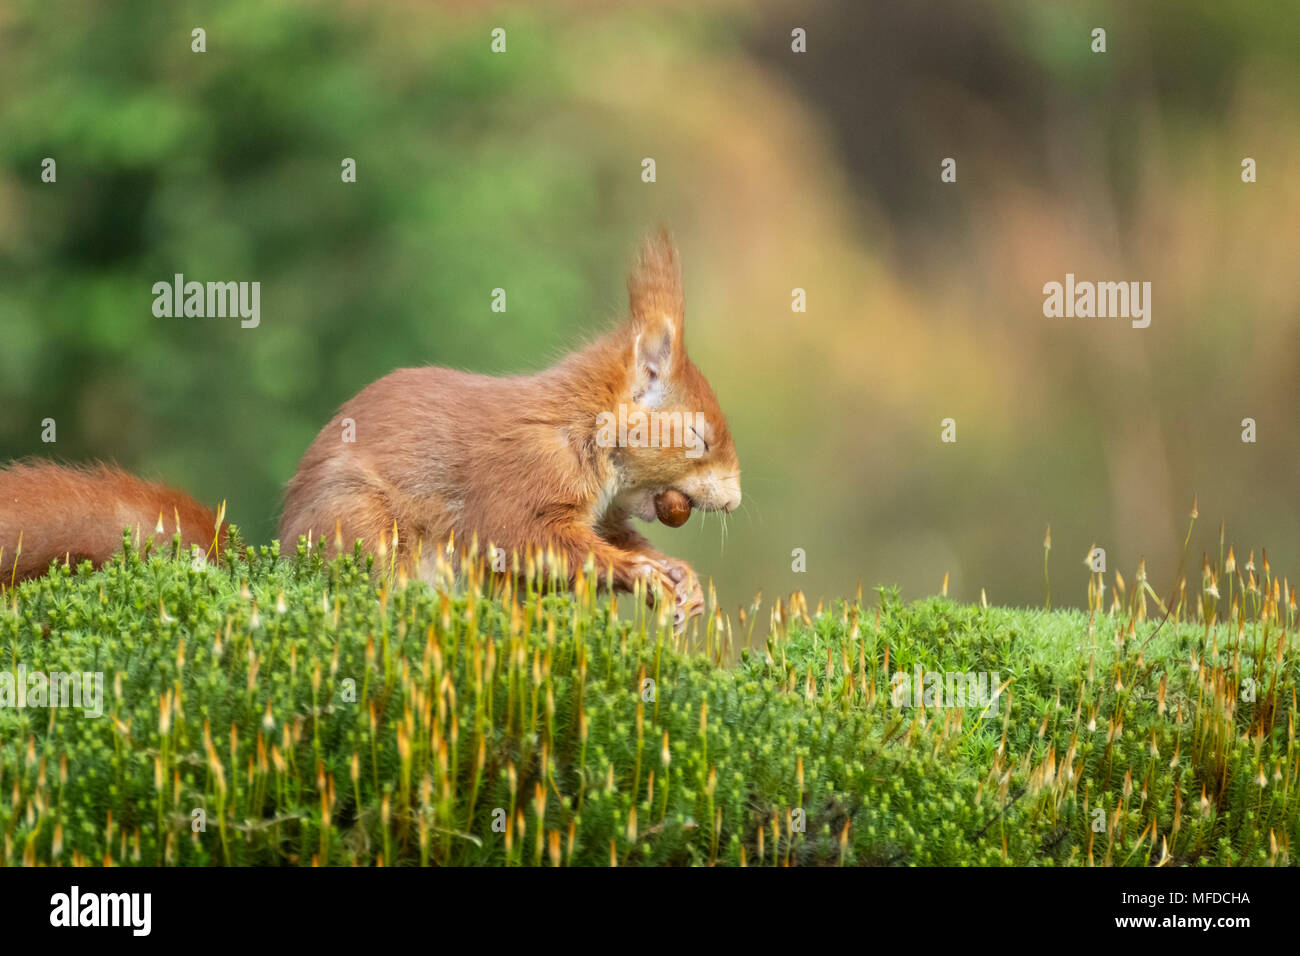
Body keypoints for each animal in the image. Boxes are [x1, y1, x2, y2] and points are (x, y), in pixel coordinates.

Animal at [0, 231, 741, 629]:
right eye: (700, 440)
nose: (734, 499)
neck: (583, 428)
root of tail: (284, 562)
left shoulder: (602, 507)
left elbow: (606, 534)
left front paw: (679, 576)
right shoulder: (521, 477)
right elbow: (529, 541)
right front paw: (641, 571)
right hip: (363, 525)